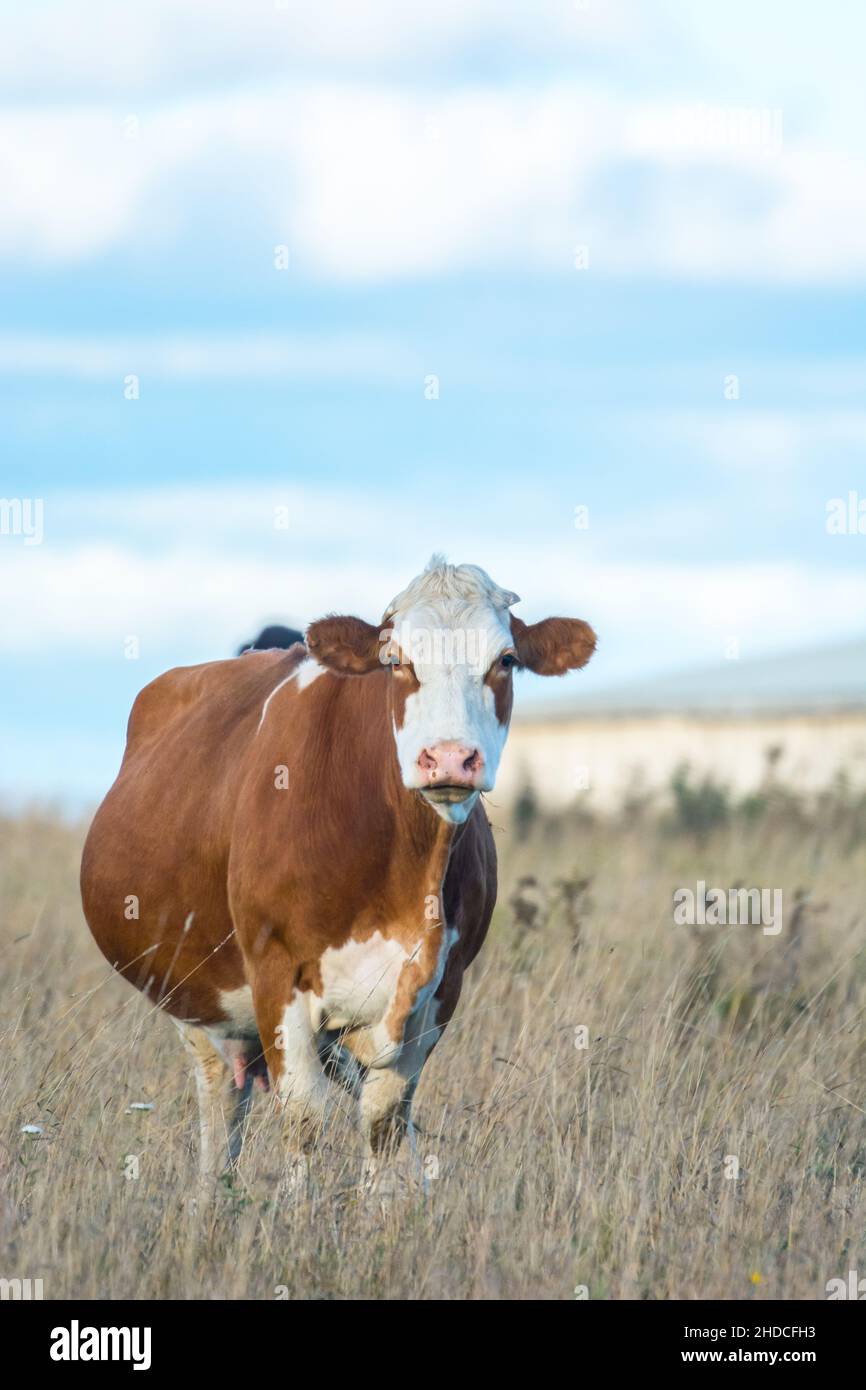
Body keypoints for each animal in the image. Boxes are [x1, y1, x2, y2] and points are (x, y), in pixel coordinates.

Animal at [80, 557, 596, 1186]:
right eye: (396, 660)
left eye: (506, 660)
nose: (450, 759)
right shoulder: (276, 973)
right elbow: (303, 1118)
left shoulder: (440, 991)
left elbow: (384, 1121)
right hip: (197, 1002)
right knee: (220, 1112)